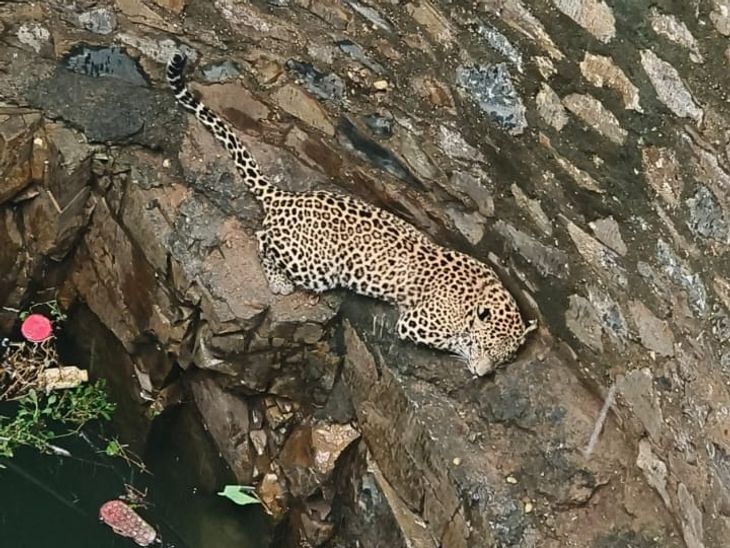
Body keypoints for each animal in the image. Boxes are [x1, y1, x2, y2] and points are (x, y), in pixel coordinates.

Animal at [166, 52, 535, 376]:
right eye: (485, 349)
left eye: (503, 359)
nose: (483, 374)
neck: (482, 294)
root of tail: (287, 197)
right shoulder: (415, 323)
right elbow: (452, 339)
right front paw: (465, 352)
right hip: (316, 267)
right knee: (262, 237)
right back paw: (279, 282)